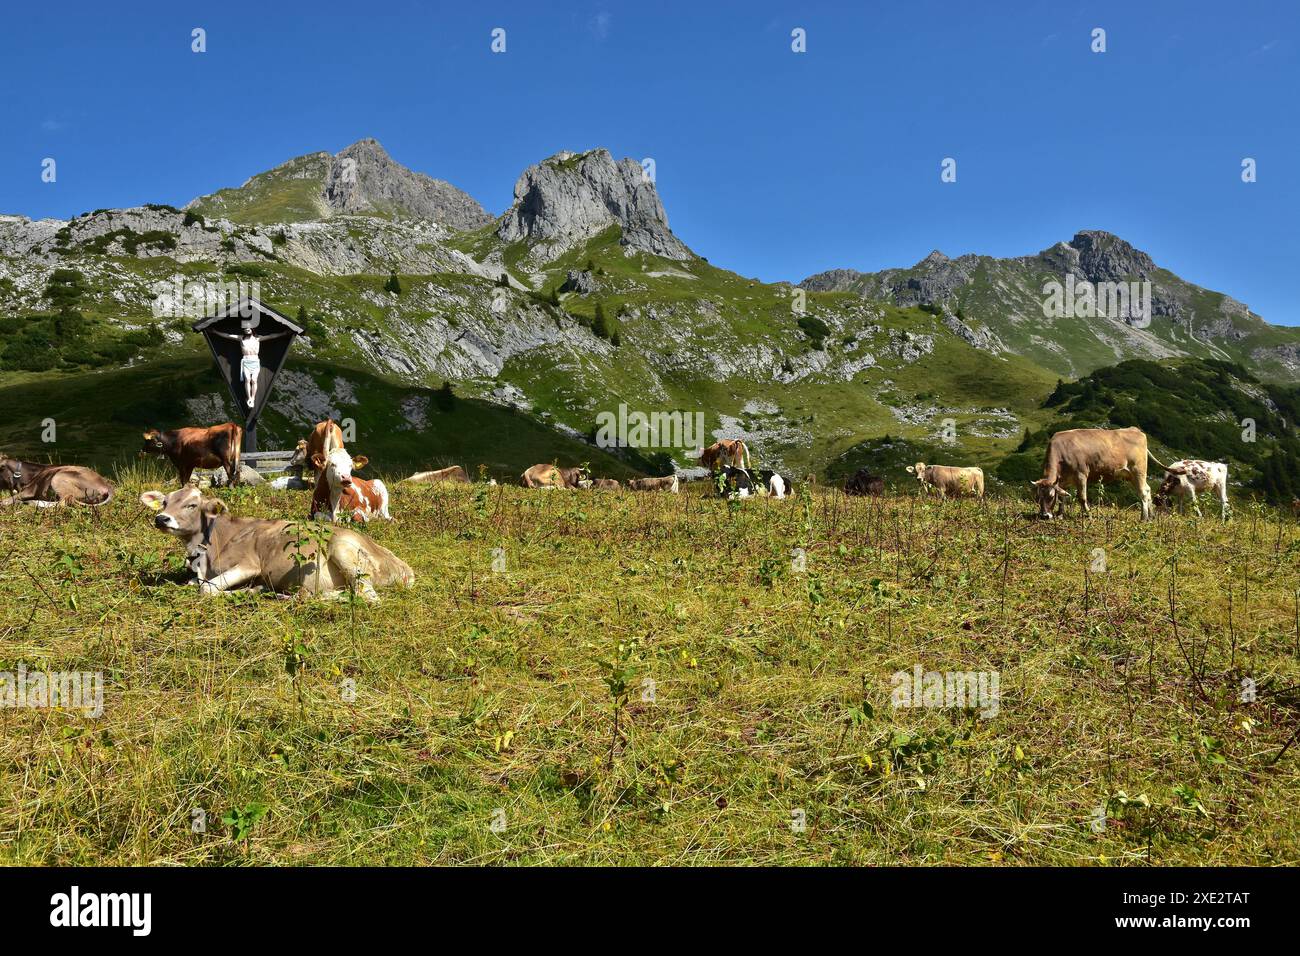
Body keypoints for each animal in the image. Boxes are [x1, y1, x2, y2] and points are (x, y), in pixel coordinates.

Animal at [140, 485, 413, 602]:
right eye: (164, 502)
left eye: (192, 505)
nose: (161, 518)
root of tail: (402, 565)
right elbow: (195, 583)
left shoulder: (250, 564)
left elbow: (206, 589)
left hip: (344, 550)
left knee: (366, 596)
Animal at [1030, 426, 1160, 520]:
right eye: (1038, 497)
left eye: (1051, 497)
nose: (1044, 516)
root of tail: (1135, 429)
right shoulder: (1063, 480)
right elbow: (1063, 497)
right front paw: (1060, 515)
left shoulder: (1081, 474)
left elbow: (1082, 497)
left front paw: (1089, 515)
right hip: (1130, 475)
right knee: (1147, 489)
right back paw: (1151, 516)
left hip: (1138, 471)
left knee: (1143, 492)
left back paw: (1144, 518)